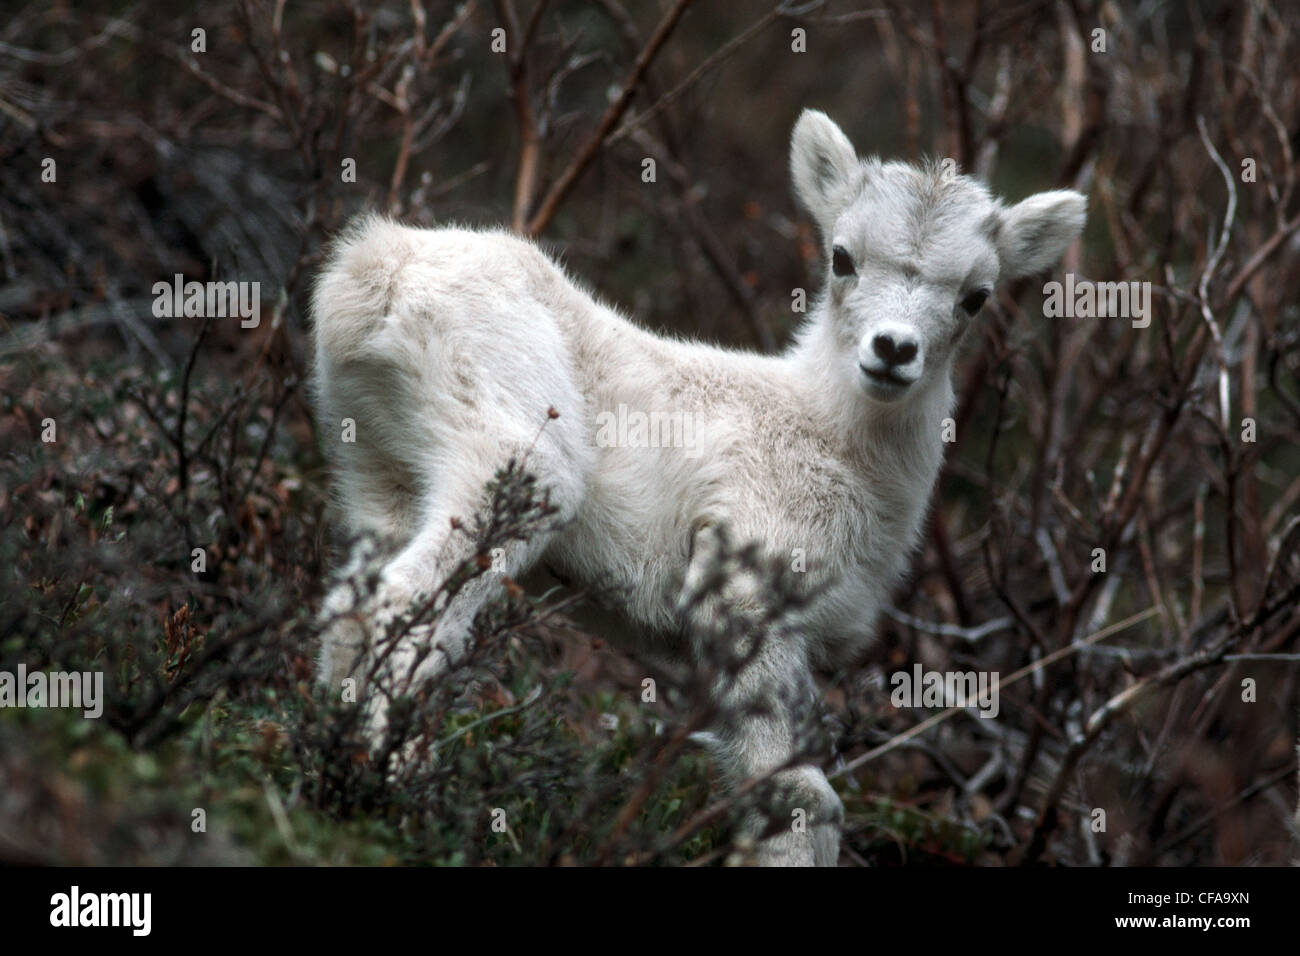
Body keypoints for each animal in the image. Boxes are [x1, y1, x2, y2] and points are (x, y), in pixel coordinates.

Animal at [310, 109, 1087, 866]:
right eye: (842, 257)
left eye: (977, 297)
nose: (893, 351)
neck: (827, 435)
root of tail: (374, 272)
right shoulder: (745, 601)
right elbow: (800, 799)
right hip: (515, 465)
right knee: (410, 602)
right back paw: (397, 792)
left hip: (379, 471)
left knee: (351, 605)